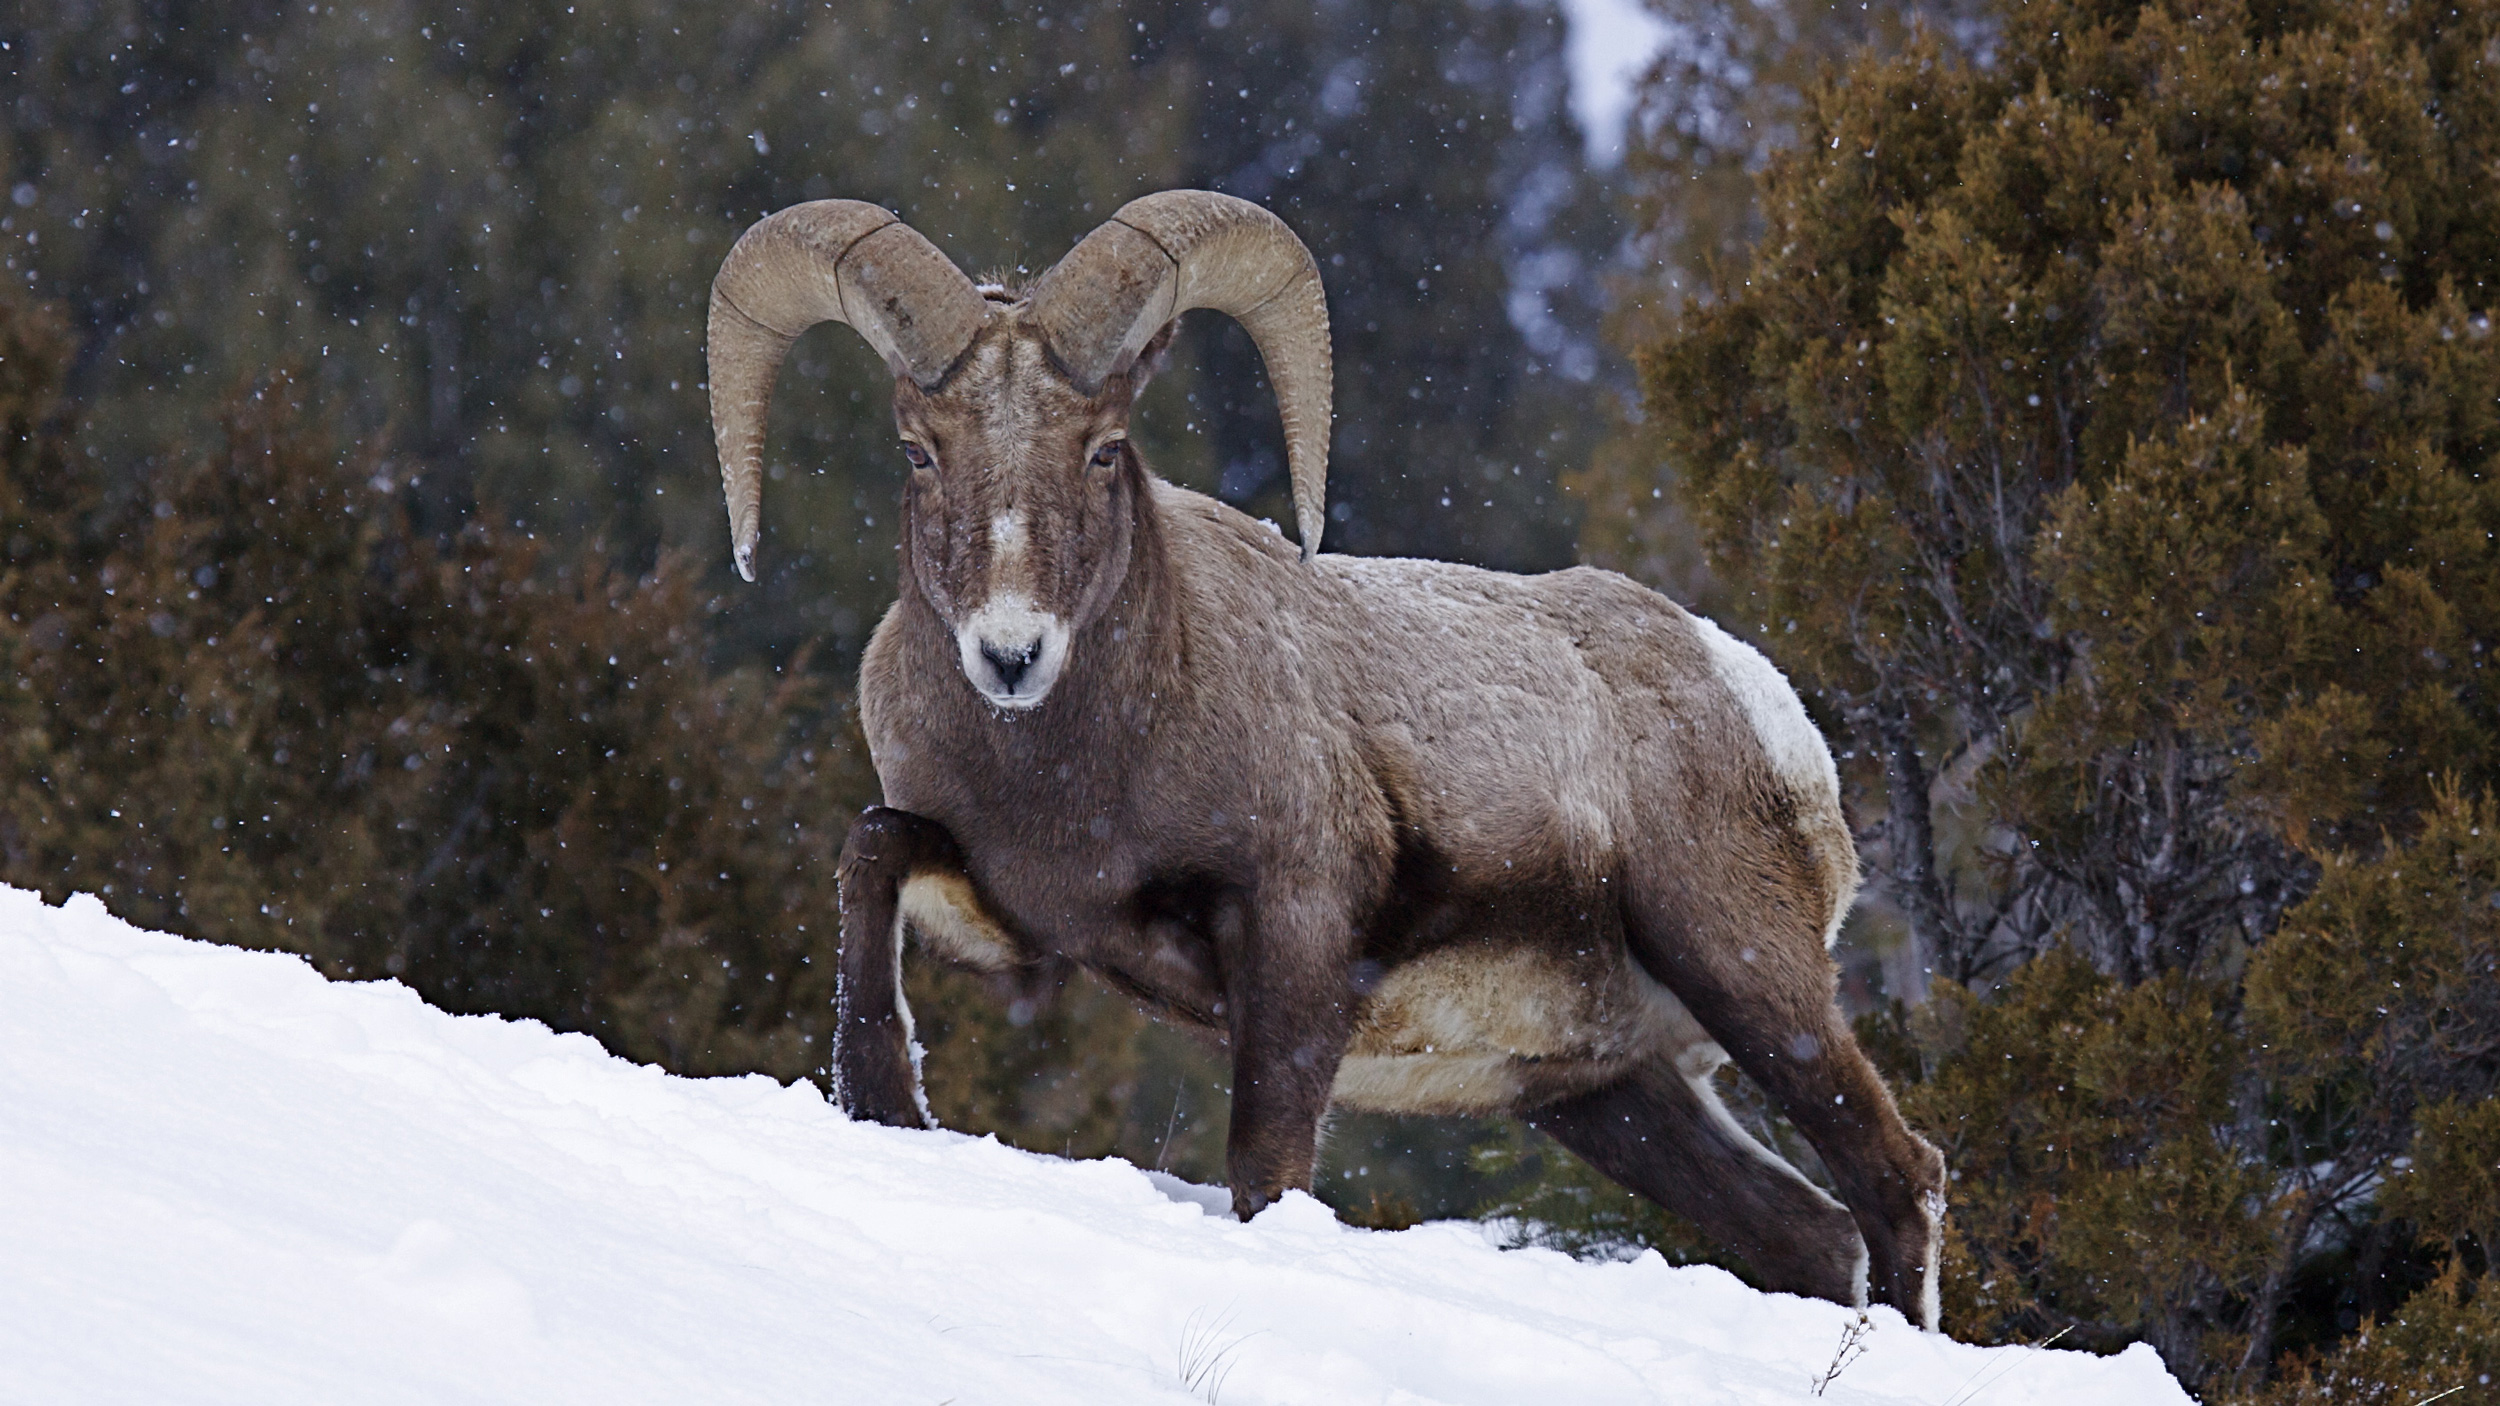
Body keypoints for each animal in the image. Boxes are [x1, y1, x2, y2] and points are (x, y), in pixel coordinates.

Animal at [704, 190, 1950, 1327]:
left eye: (1103, 447)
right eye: (920, 449)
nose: (1011, 652)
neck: (1078, 771)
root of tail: (1768, 712)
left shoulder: (1296, 940)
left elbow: (1268, 1165)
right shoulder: (1024, 929)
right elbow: (873, 848)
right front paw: (884, 1095)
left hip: (1750, 975)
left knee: (1898, 1178)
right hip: (1607, 1092)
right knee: (1809, 1232)